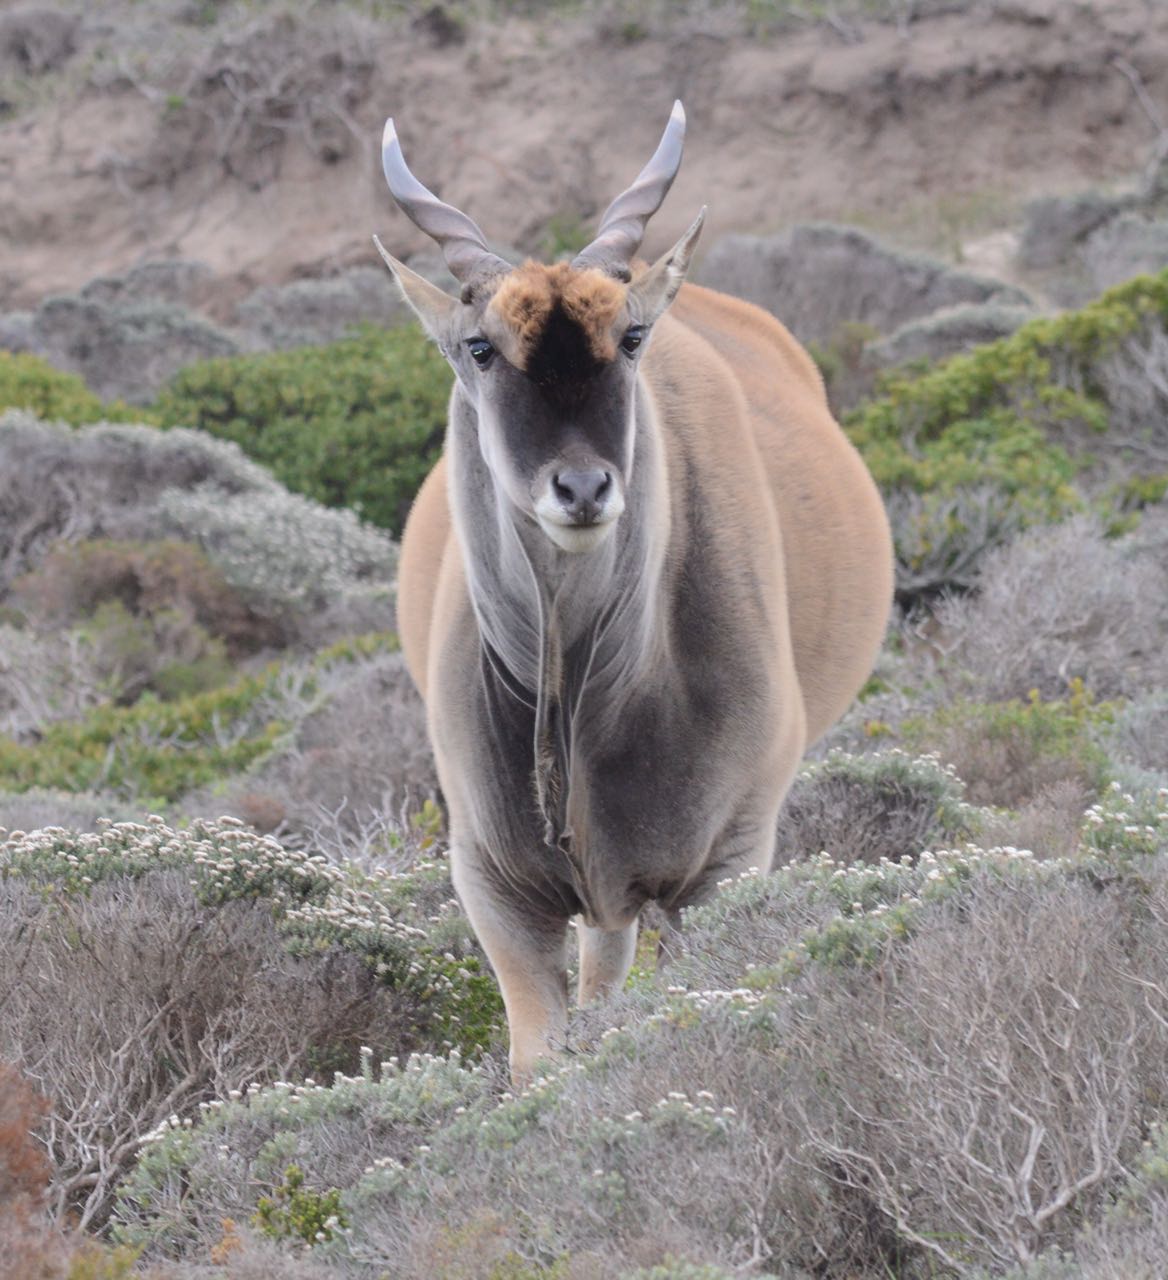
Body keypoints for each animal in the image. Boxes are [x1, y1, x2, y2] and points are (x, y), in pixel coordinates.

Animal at [375, 103, 893, 1081]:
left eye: (629, 338)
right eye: (480, 348)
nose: (581, 489)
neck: (585, 688)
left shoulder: (724, 867)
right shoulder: (496, 888)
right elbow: (539, 1060)